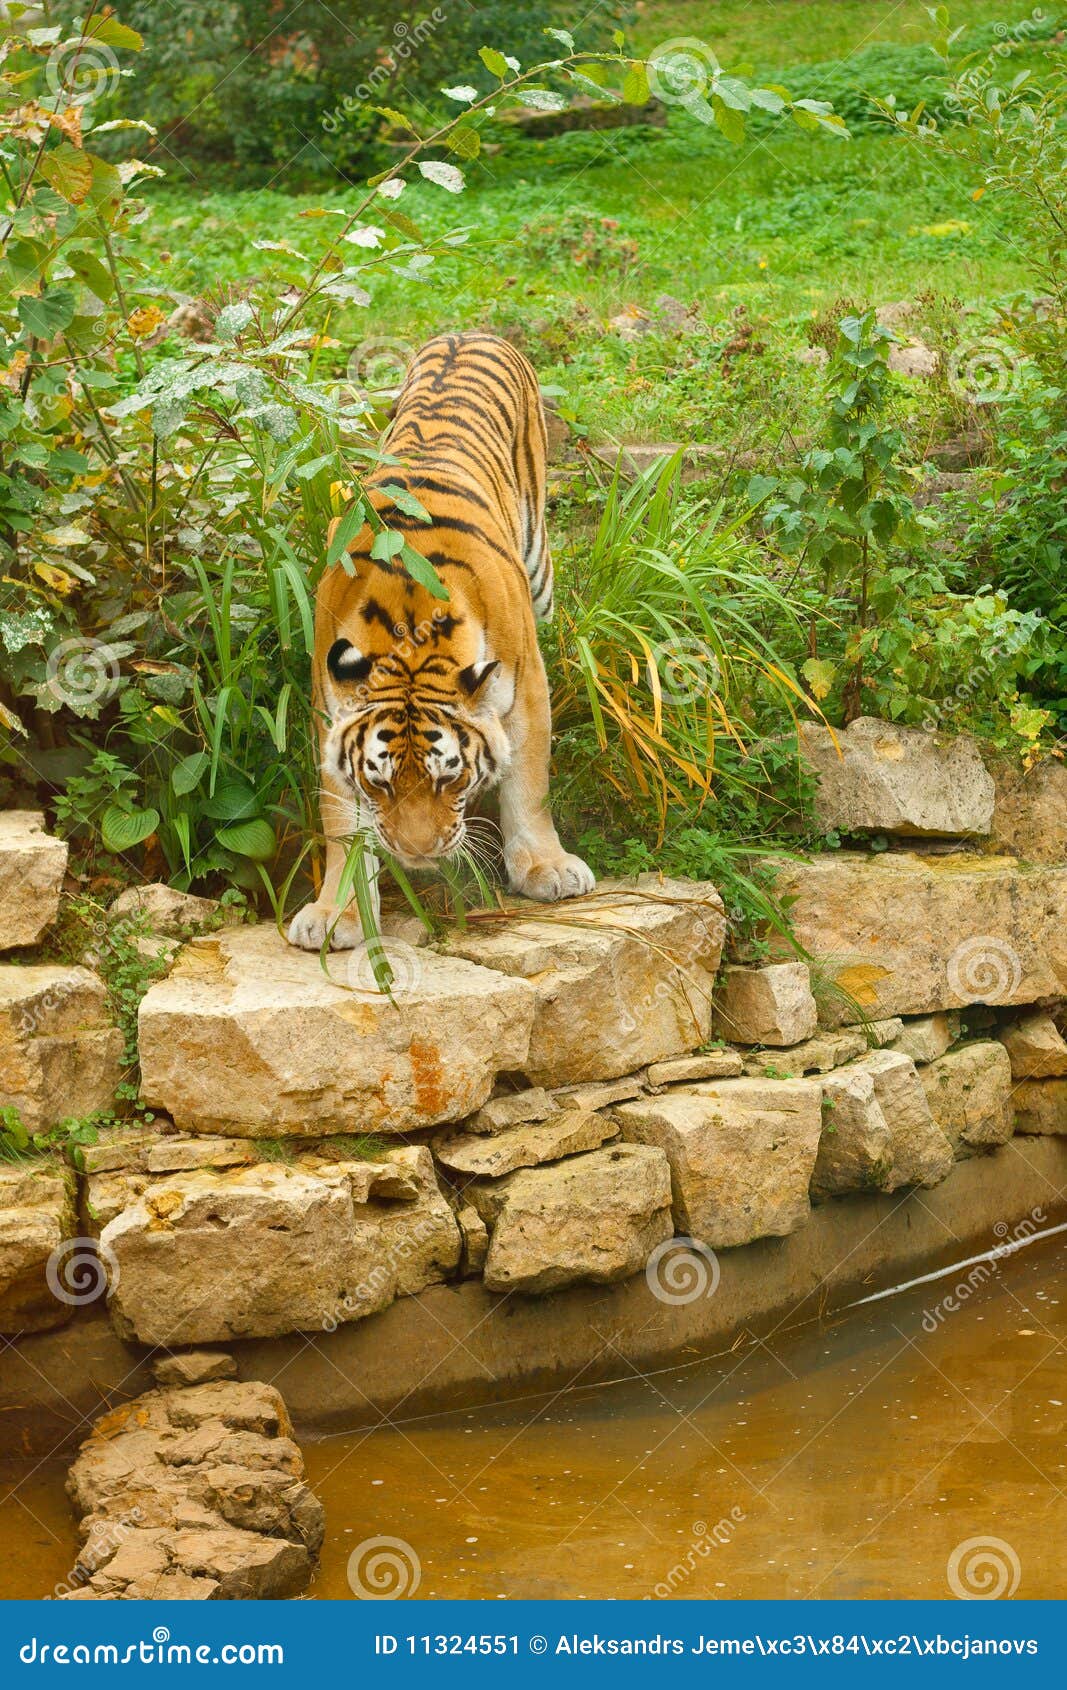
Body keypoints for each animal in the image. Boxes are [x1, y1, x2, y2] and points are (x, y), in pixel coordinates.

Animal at [287, 330, 595, 951]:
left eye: (448, 775)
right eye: (378, 781)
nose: (418, 853)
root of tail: (468, 331)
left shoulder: (527, 688)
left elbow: (531, 782)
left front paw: (546, 868)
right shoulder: (326, 707)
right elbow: (341, 821)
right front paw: (336, 913)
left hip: (540, 569)